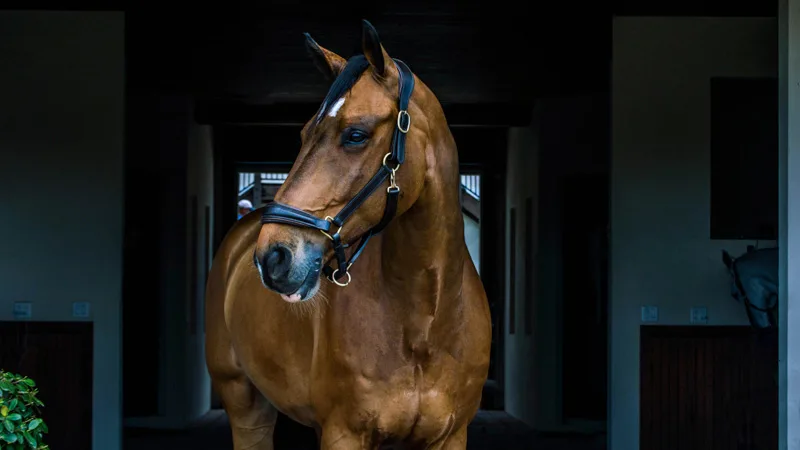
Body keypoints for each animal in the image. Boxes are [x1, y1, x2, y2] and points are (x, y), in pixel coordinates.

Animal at [205, 20, 493, 450]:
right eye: (304, 134)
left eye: (356, 134)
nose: (272, 256)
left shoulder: (452, 436)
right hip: (244, 404)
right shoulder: (343, 433)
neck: (425, 324)